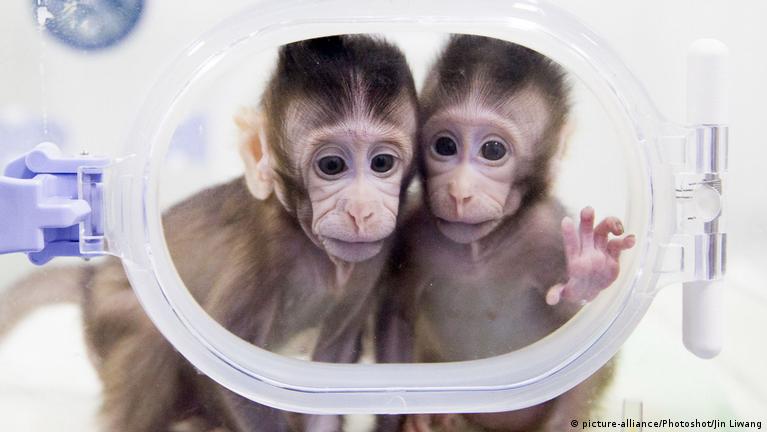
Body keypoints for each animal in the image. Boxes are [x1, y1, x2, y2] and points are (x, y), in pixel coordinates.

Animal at [0, 34, 418, 432]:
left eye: (382, 163)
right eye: (332, 165)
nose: (361, 209)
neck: (316, 251)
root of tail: (92, 277)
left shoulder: (369, 266)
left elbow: (333, 367)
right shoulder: (265, 252)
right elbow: (236, 384)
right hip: (109, 312)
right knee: (146, 330)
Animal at [374, 35, 636, 432]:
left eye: (493, 150)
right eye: (445, 146)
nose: (459, 191)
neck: (479, 251)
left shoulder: (549, 236)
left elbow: (580, 333)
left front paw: (590, 271)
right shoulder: (412, 232)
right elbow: (397, 316)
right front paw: (403, 415)